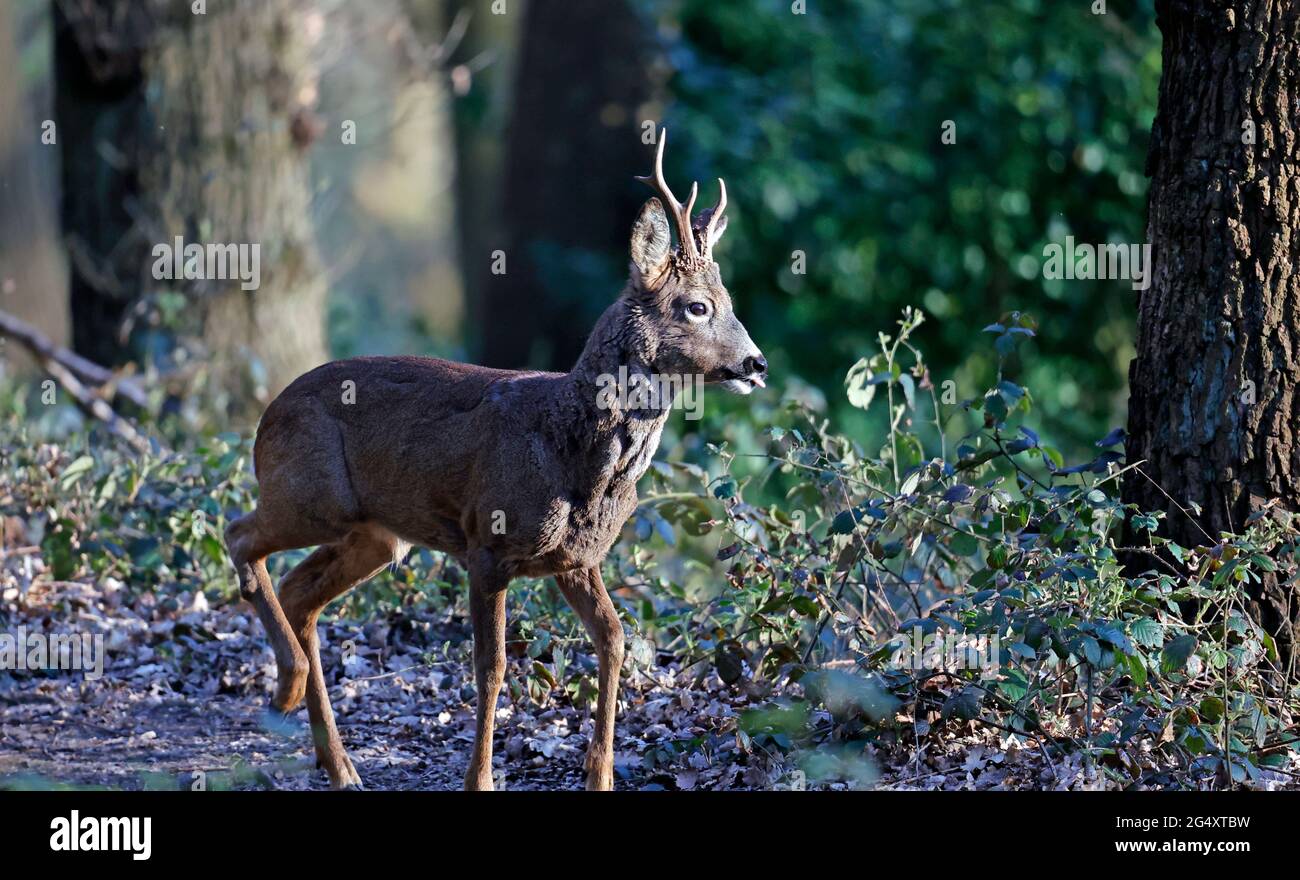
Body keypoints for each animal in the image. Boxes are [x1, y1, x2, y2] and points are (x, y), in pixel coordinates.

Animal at [223, 129, 768, 790]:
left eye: (729, 300)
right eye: (696, 306)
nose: (757, 363)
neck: (571, 450)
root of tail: (266, 415)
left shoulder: (578, 558)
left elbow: (614, 641)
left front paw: (600, 776)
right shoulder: (486, 542)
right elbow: (492, 666)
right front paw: (480, 778)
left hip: (376, 535)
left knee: (300, 590)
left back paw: (341, 764)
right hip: (312, 493)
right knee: (239, 534)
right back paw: (286, 688)